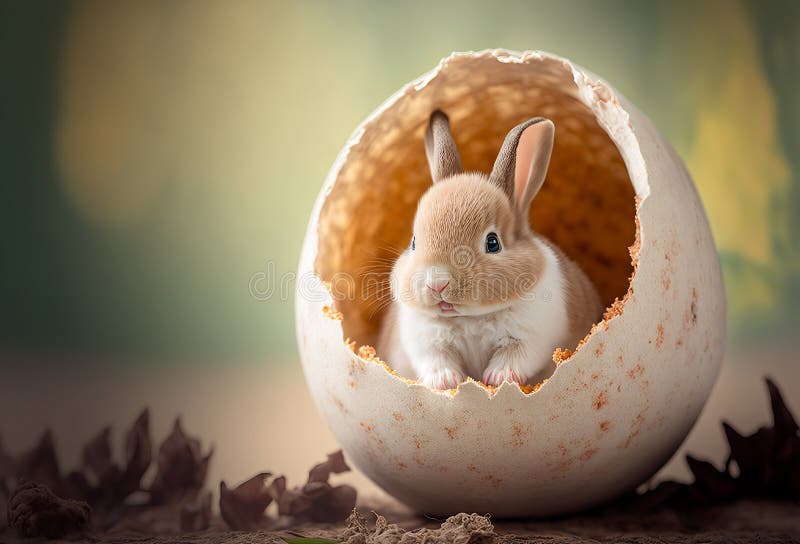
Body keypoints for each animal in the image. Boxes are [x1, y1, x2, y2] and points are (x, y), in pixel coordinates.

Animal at [375, 110, 604, 390]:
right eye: (414, 242)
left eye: (493, 243)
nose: (437, 284)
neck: (469, 317)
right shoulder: (427, 343)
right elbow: (437, 360)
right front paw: (446, 381)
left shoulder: (529, 339)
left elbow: (514, 357)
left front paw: (498, 378)